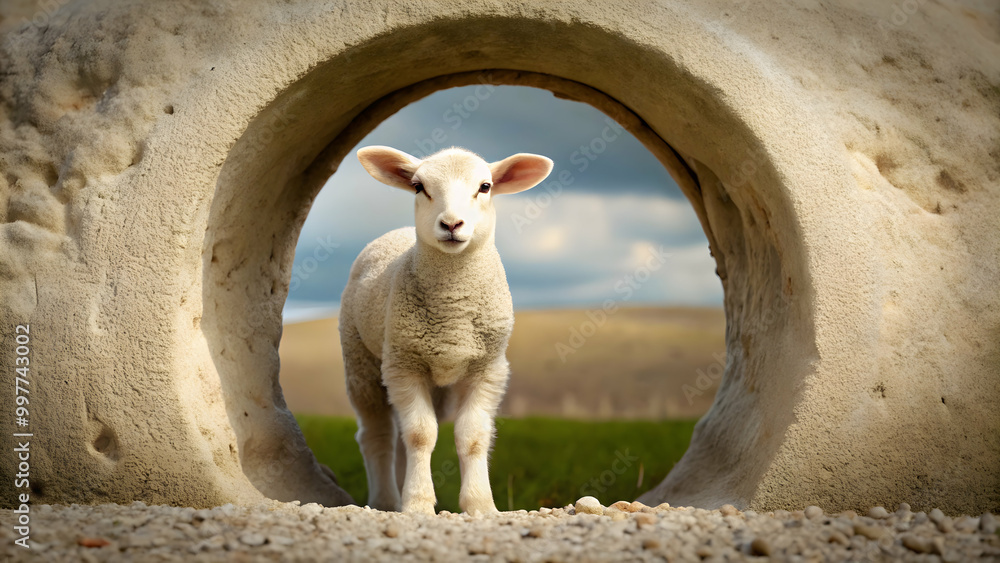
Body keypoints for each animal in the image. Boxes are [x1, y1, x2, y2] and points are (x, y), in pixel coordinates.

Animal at [339, 145, 553, 515]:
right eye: (418, 186)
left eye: (485, 186)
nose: (452, 224)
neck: (453, 310)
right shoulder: (404, 363)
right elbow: (421, 435)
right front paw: (418, 503)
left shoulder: (487, 368)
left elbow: (472, 436)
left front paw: (480, 504)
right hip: (361, 361)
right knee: (377, 435)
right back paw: (385, 500)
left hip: (435, 384)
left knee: (400, 437)